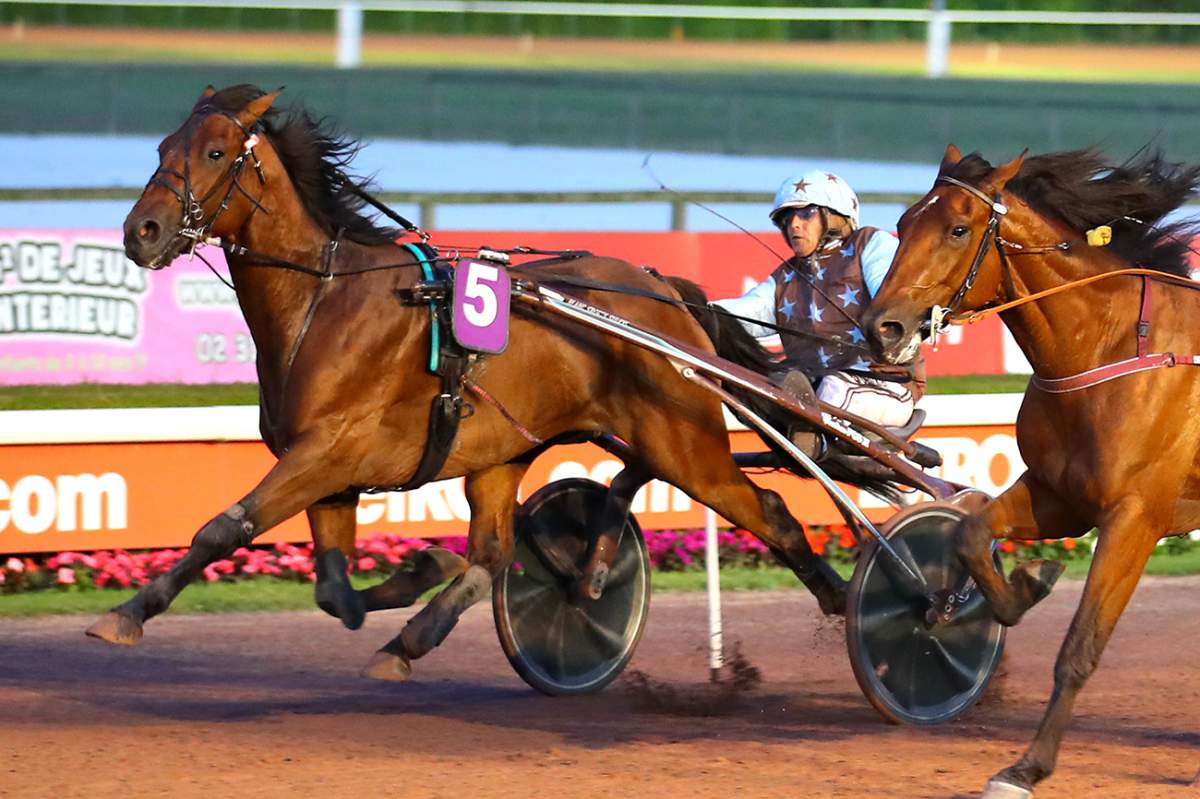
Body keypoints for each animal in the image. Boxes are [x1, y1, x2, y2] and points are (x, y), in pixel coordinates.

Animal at [92, 83, 850, 680]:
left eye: (216, 153)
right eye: (162, 146)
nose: (141, 230)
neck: (325, 301)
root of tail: (662, 286)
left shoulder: (328, 452)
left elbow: (223, 529)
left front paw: (125, 613)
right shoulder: (329, 474)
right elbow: (334, 591)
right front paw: (418, 574)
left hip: (683, 445)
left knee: (773, 512)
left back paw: (853, 599)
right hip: (503, 453)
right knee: (494, 552)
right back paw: (423, 634)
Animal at [863, 144, 1200, 799]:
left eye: (958, 229)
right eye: (905, 222)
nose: (881, 326)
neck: (1109, 347)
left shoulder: (1135, 518)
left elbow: (1080, 646)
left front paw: (1026, 767)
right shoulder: (1056, 496)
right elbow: (971, 534)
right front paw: (1026, 582)